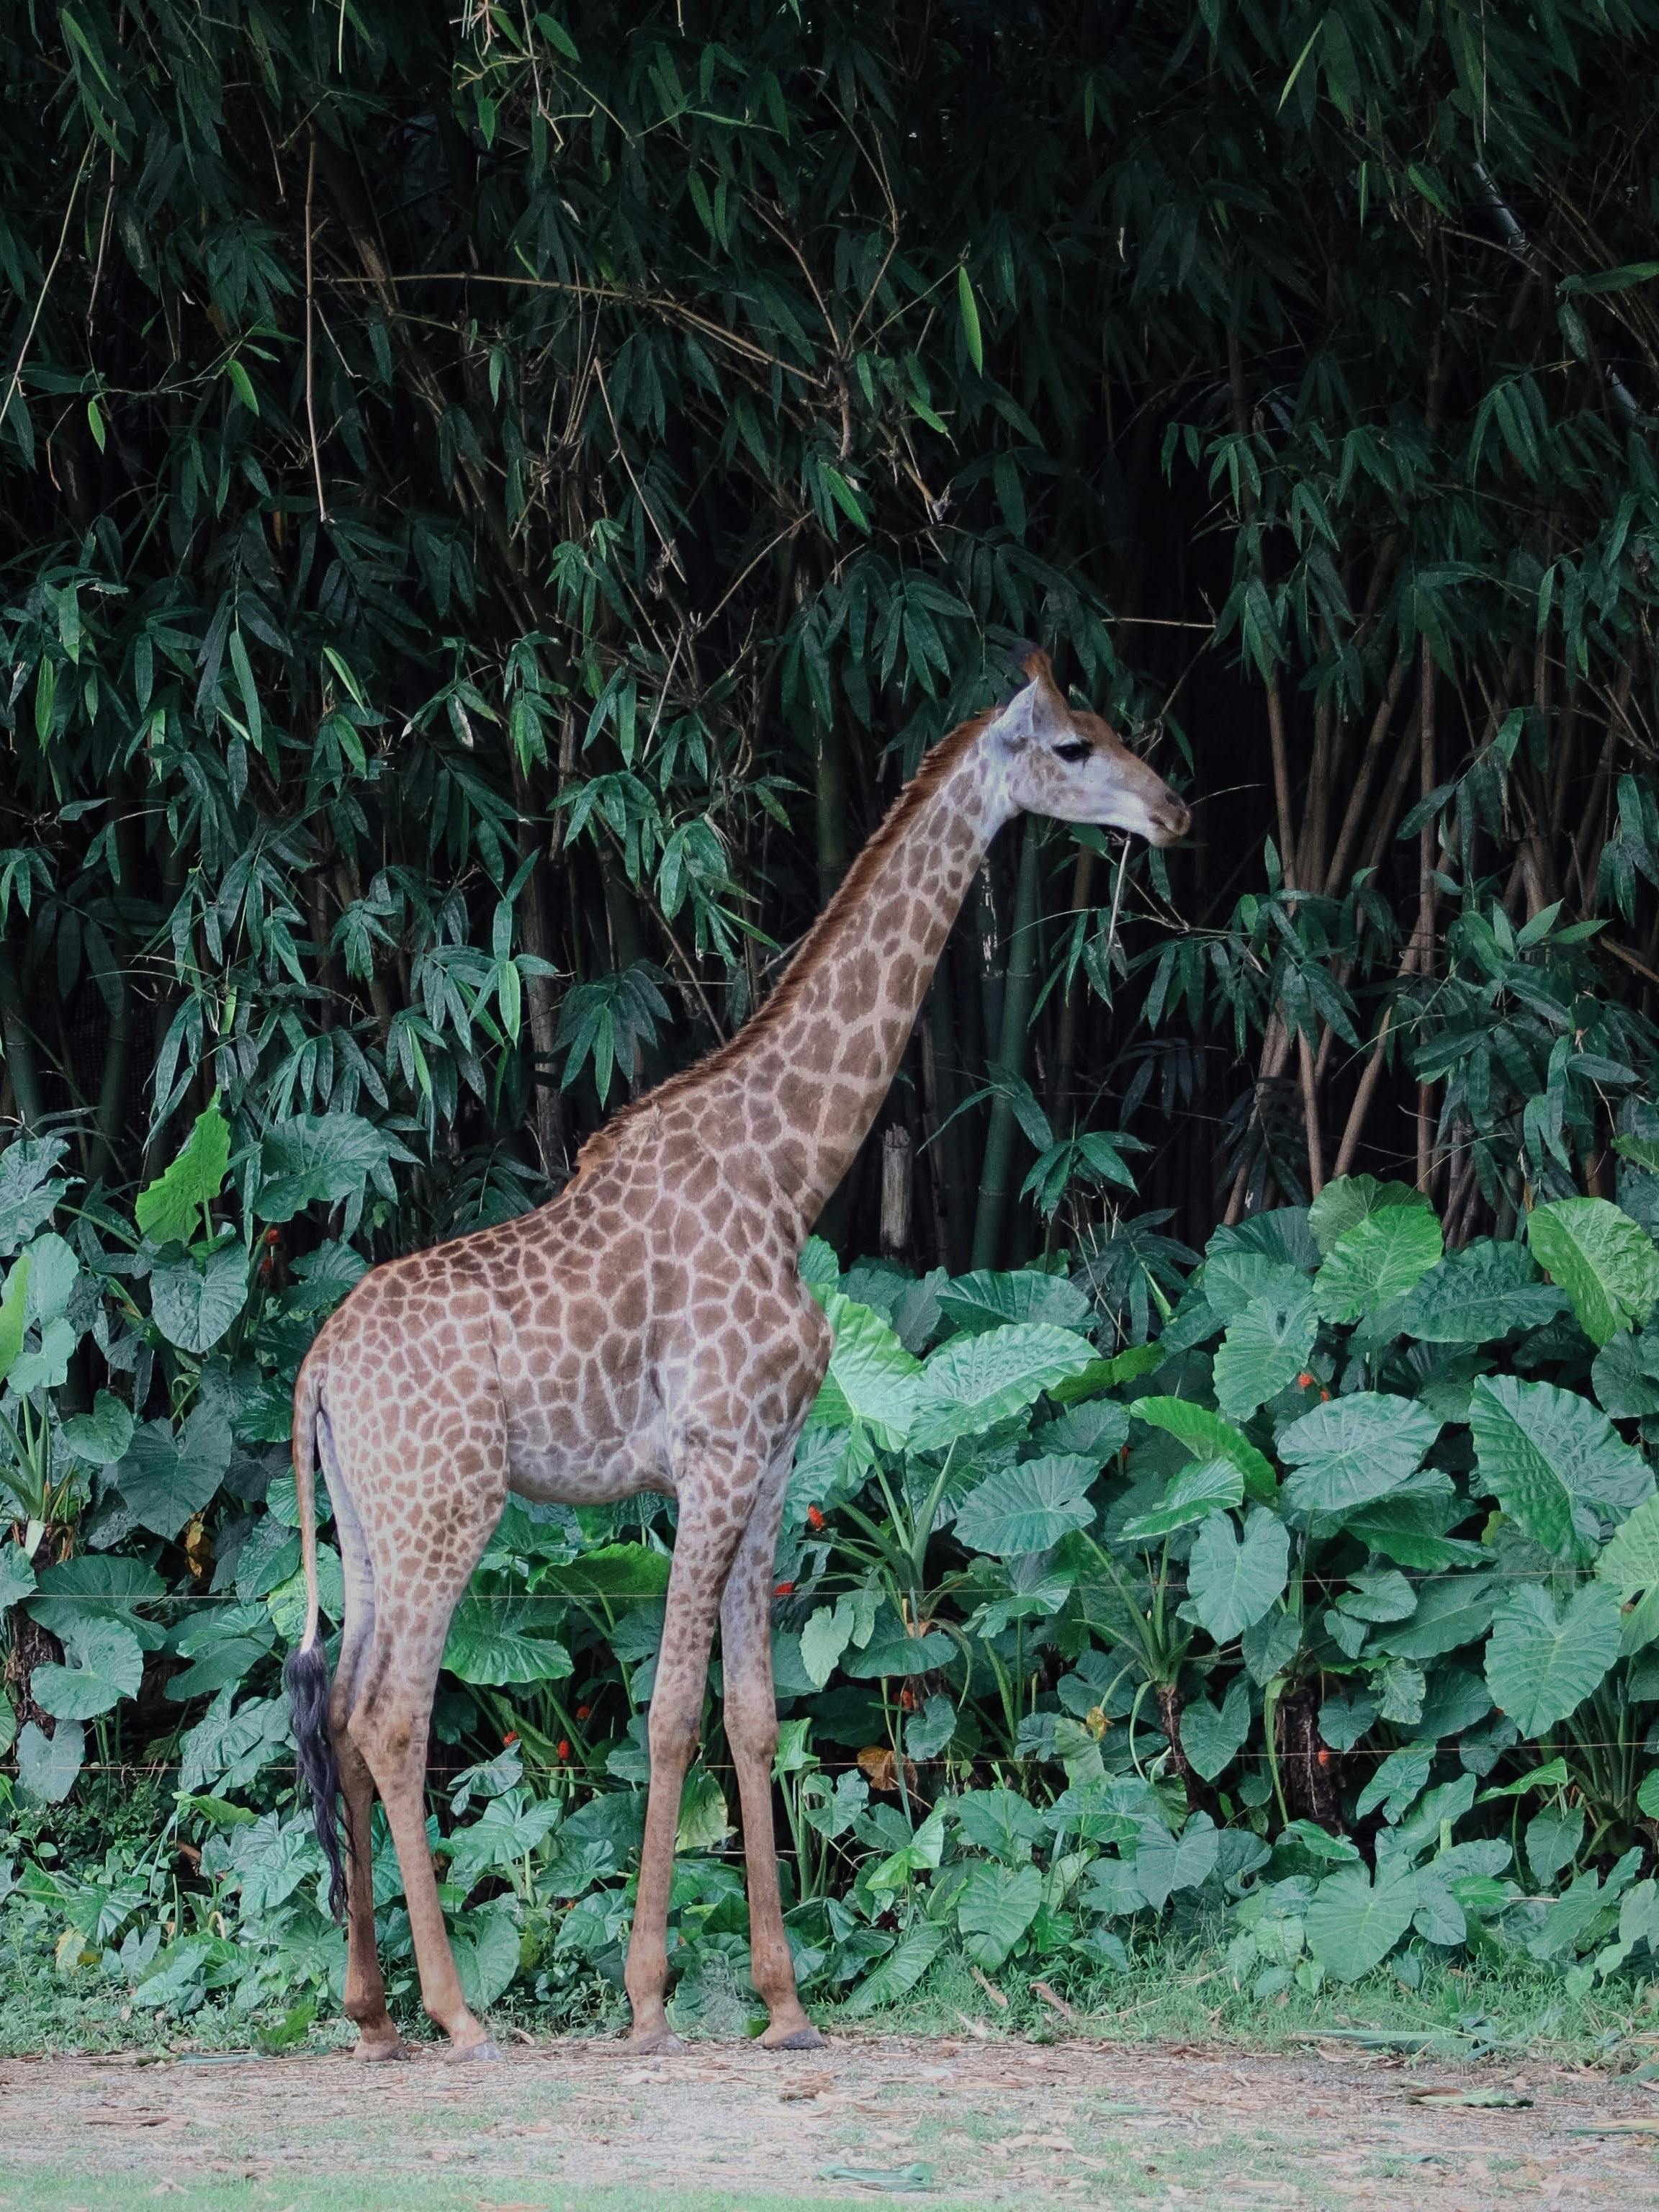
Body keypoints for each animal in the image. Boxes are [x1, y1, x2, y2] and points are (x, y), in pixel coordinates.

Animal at [283, 646, 1190, 2062]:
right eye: (1075, 746)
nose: (1173, 813)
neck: (788, 1172)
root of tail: (316, 1365)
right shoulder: (710, 1455)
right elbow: (666, 1716)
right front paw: (650, 1998)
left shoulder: (770, 1465)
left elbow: (757, 1715)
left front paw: (783, 2003)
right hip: (449, 1509)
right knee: (392, 1715)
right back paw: (456, 2012)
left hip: (374, 1524)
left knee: (337, 1709)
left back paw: (371, 2014)